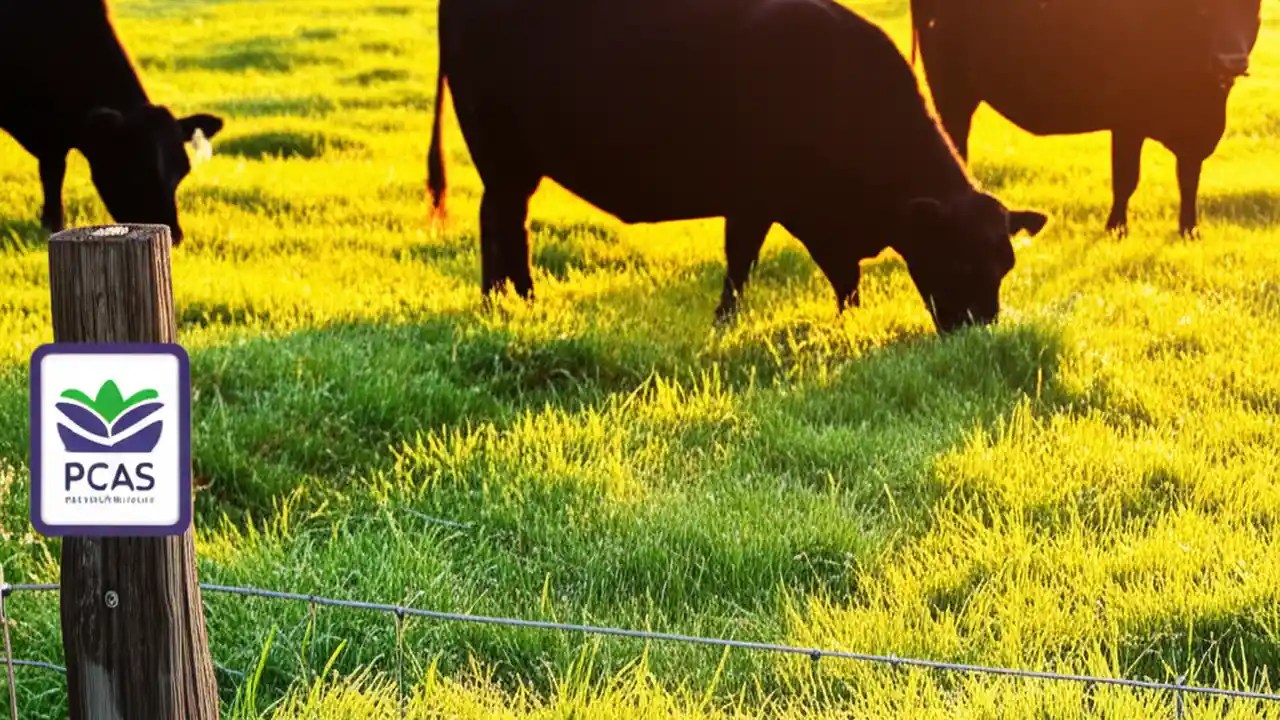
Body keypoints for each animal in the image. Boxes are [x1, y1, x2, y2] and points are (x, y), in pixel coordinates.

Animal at [426, 0, 1049, 334]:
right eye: (956, 259)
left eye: (1005, 264)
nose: (978, 331)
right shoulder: (761, 200)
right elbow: (745, 263)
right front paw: (724, 322)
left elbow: (844, 279)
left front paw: (846, 320)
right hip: (502, 157)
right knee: (501, 225)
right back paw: (508, 300)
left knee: (510, 225)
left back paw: (514, 300)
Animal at [909, 0, 1262, 237]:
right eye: (1203, 10)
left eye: (1250, 9)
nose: (1232, 60)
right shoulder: (1128, 124)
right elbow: (1126, 179)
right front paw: (1116, 229)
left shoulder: (1196, 134)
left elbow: (1188, 181)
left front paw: (1189, 230)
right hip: (952, 94)